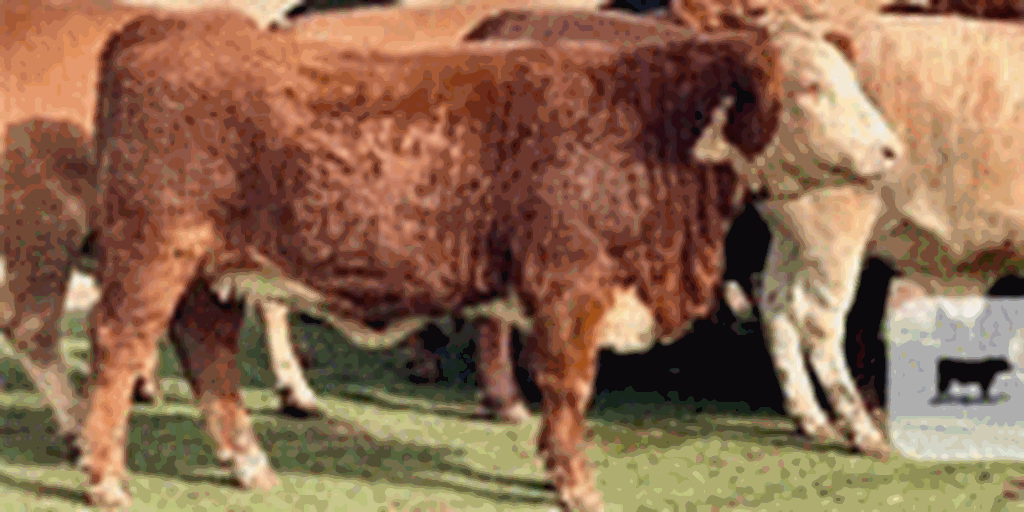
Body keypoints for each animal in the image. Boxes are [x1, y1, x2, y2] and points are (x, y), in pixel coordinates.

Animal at [75, 6, 902, 509]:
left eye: (854, 79)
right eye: (810, 86)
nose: (893, 150)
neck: (650, 125)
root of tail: (162, 25)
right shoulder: (571, 288)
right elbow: (568, 389)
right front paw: (574, 483)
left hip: (212, 268)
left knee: (208, 353)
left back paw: (248, 462)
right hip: (153, 248)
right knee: (119, 346)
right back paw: (103, 473)